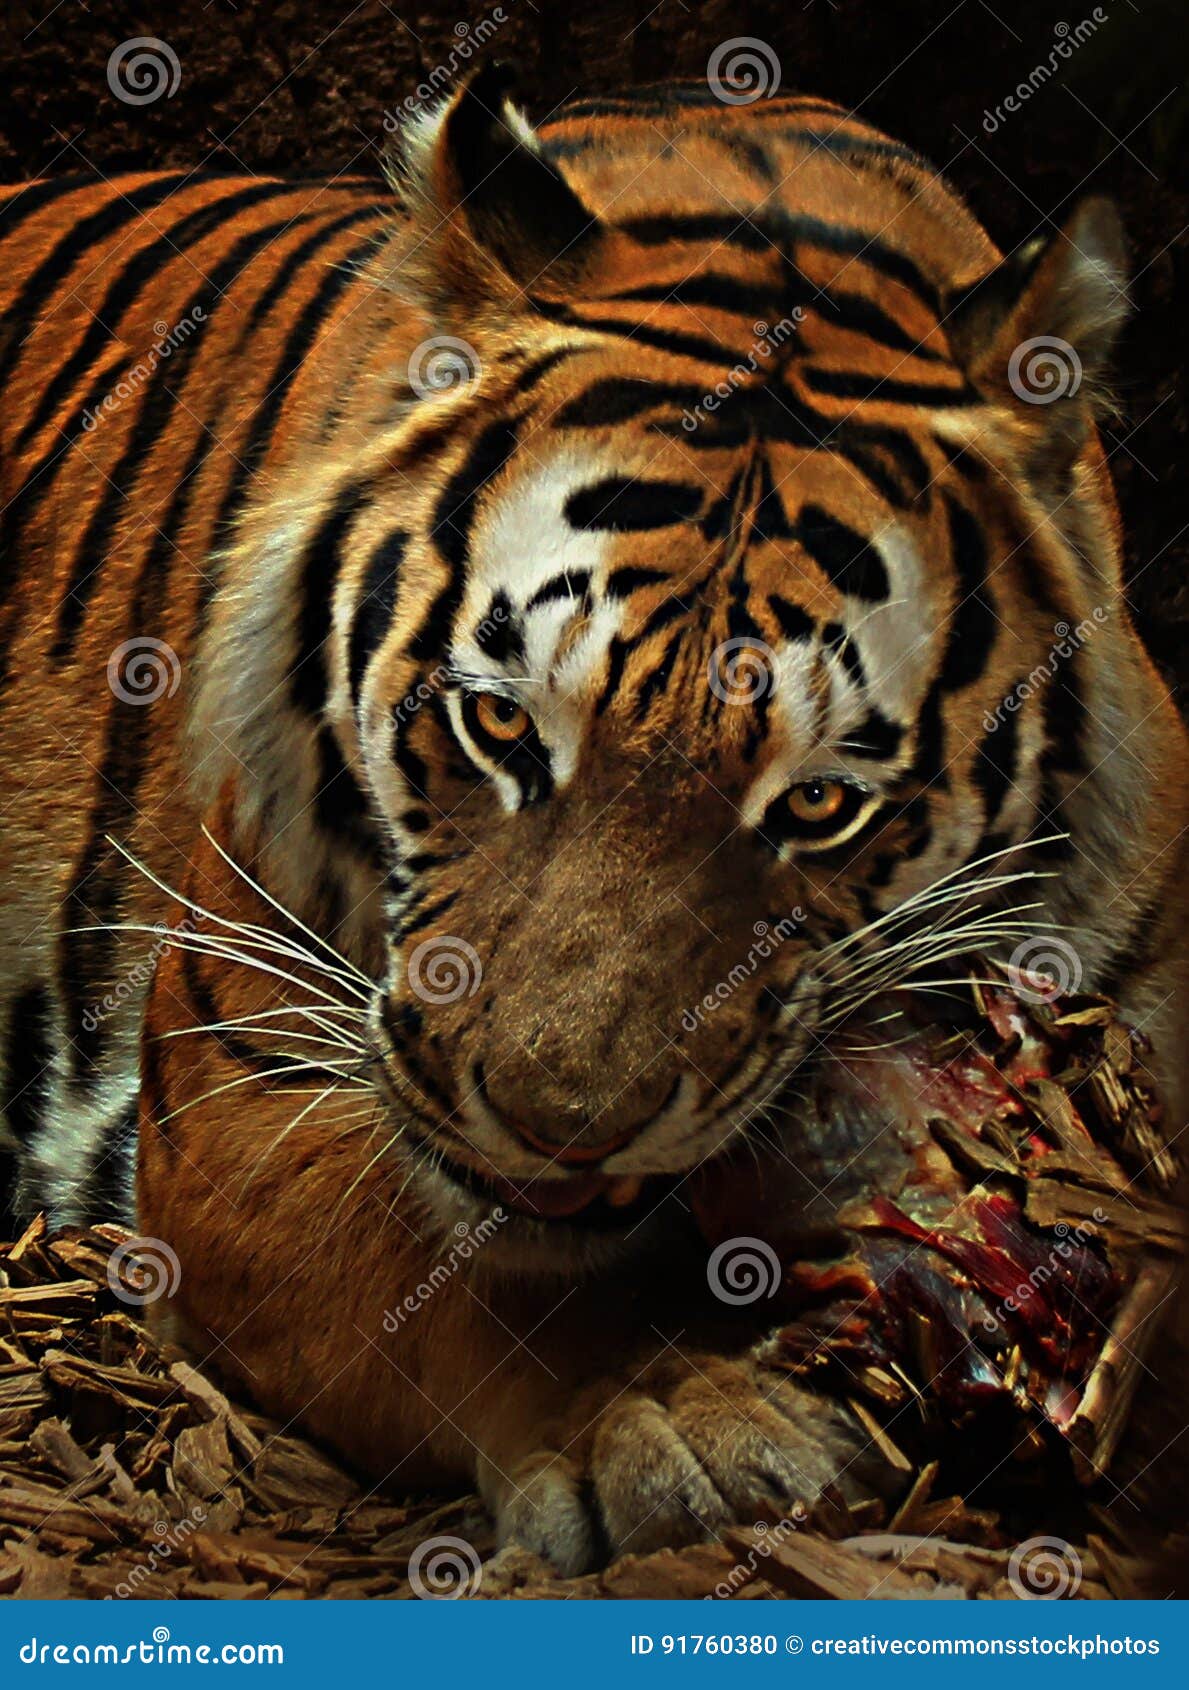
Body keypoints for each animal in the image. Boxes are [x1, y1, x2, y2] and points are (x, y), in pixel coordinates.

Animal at [1, 65, 1186, 1575]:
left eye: (818, 802)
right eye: (501, 725)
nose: (561, 1132)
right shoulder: (233, 1083)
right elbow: (455, 1272)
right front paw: (681, 1419)